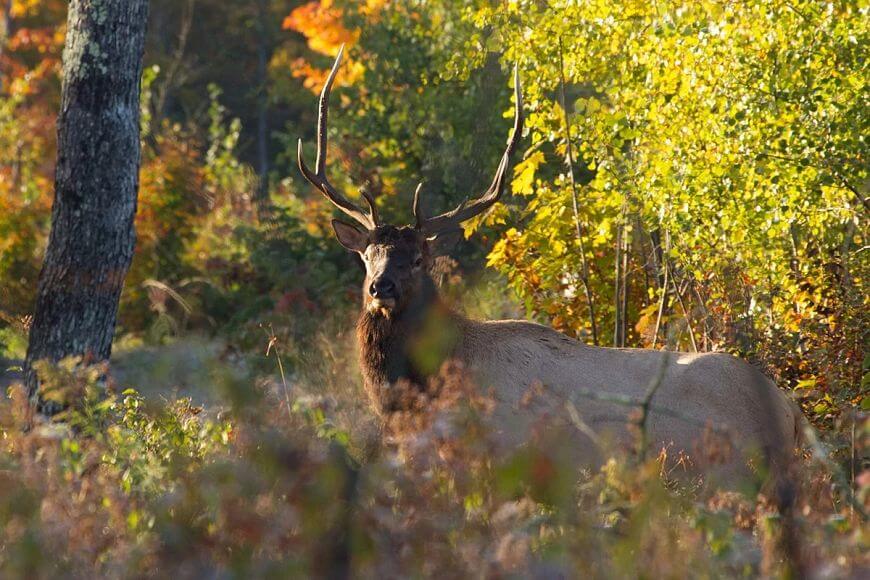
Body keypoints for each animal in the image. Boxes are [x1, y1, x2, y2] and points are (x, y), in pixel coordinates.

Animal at [296, 47, 803, 487]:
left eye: (419, 258)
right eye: (367, 255)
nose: (381, 288)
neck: (429, 391)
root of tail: (791, 412)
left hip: (728, 470)